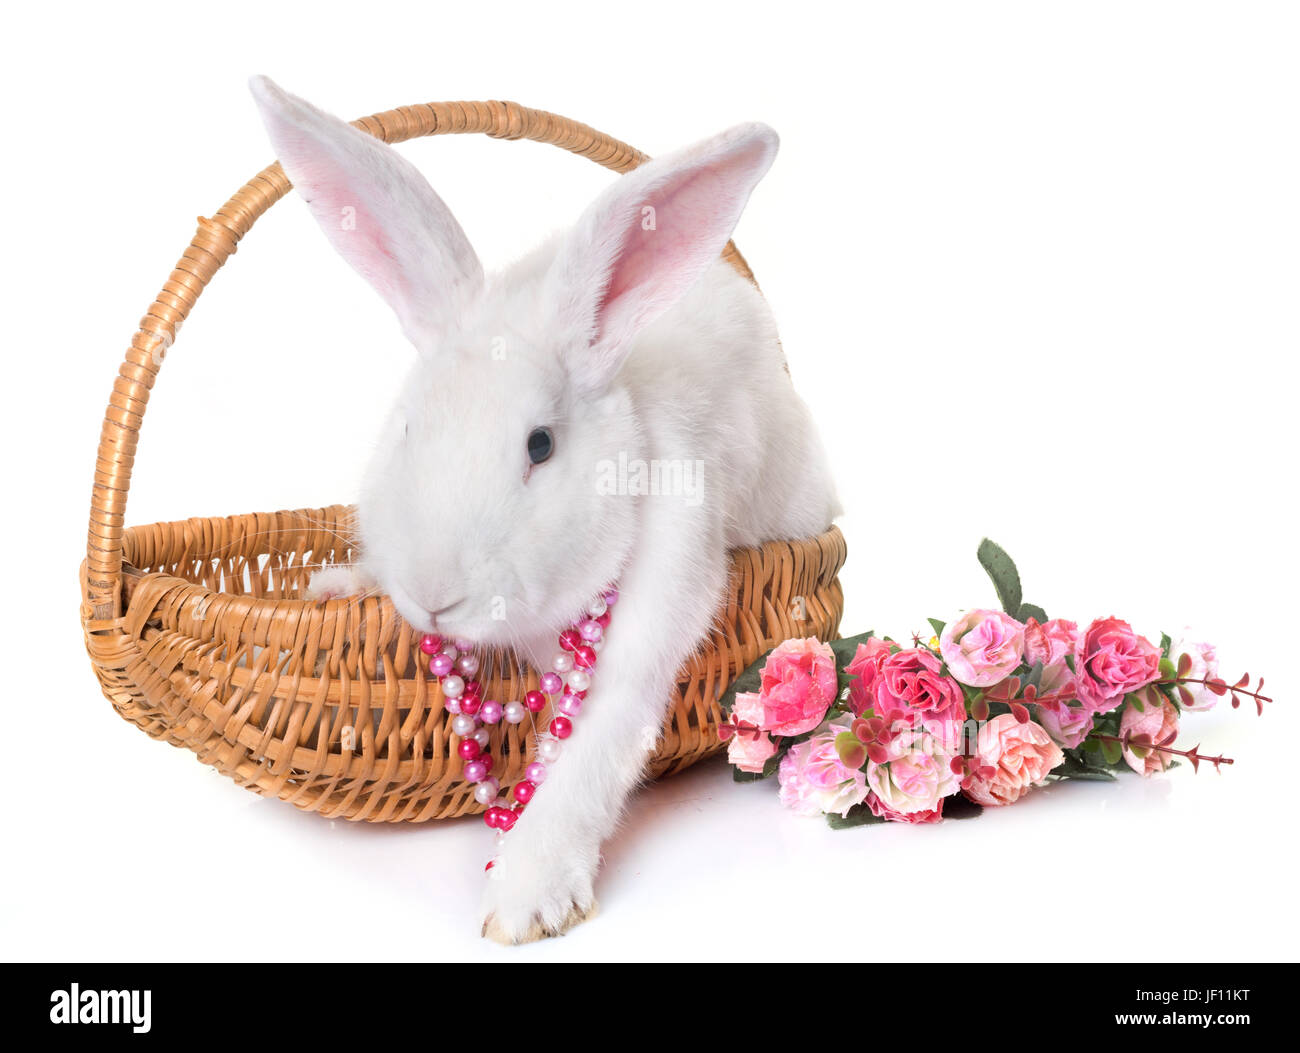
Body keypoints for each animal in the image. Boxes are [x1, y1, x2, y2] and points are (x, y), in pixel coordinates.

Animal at [250, 76, 840, 944]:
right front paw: (338, 587)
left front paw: (525, 899)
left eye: (540, 445)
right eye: (408, 428)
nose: (433, 594)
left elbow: (594, 750)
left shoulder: (660, 607)